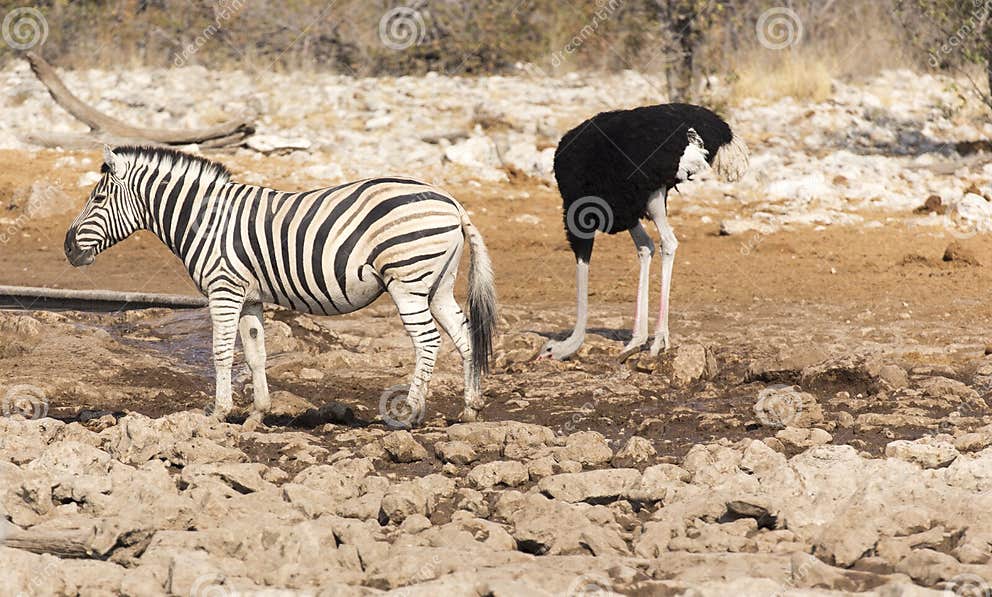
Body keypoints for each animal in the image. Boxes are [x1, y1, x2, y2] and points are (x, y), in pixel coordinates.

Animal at [65, 146, 497, 427]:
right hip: (437, 284)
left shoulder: (224, 290)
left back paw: (410, 412)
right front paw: (258, 413)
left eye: (98, 198)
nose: (67, 247)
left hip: (407, 280)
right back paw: (471, 408)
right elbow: (255, 354)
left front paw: (218, 412)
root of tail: (452, 202)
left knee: (428, 341)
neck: (205, 220)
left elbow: (221, 353)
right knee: (464, 335)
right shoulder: (249, 297)